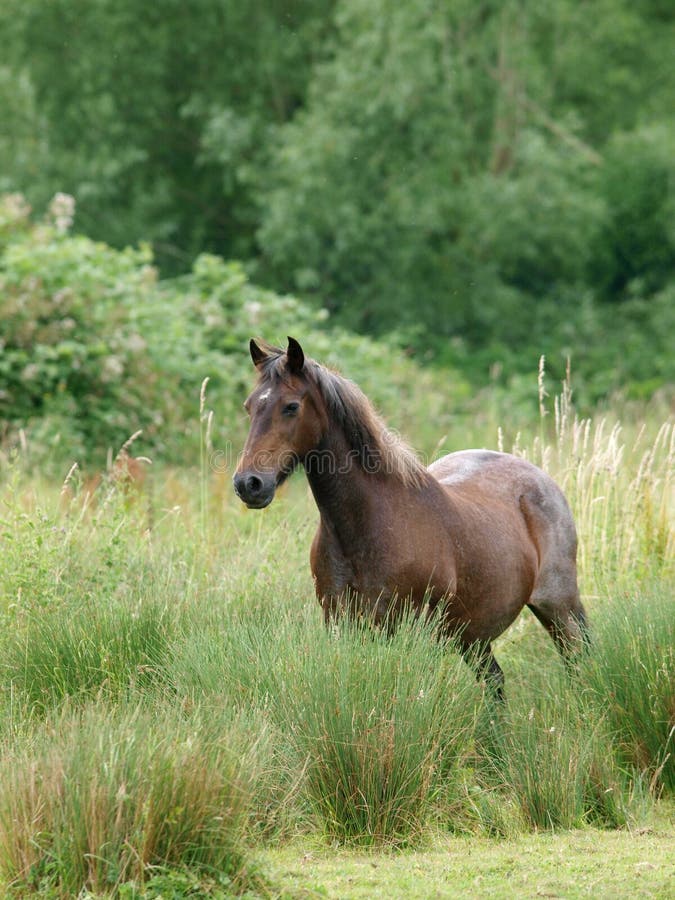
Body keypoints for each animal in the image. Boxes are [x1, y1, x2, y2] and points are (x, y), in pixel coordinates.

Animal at [233, 337, 588, 697]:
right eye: (249, 407)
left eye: (291, 406)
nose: (248, 484)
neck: (369, 524)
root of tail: (541, 480)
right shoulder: (342, 624)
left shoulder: (412, 630)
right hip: (473, 637)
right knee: (495, 682)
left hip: (559, 608)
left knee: (577, 664)